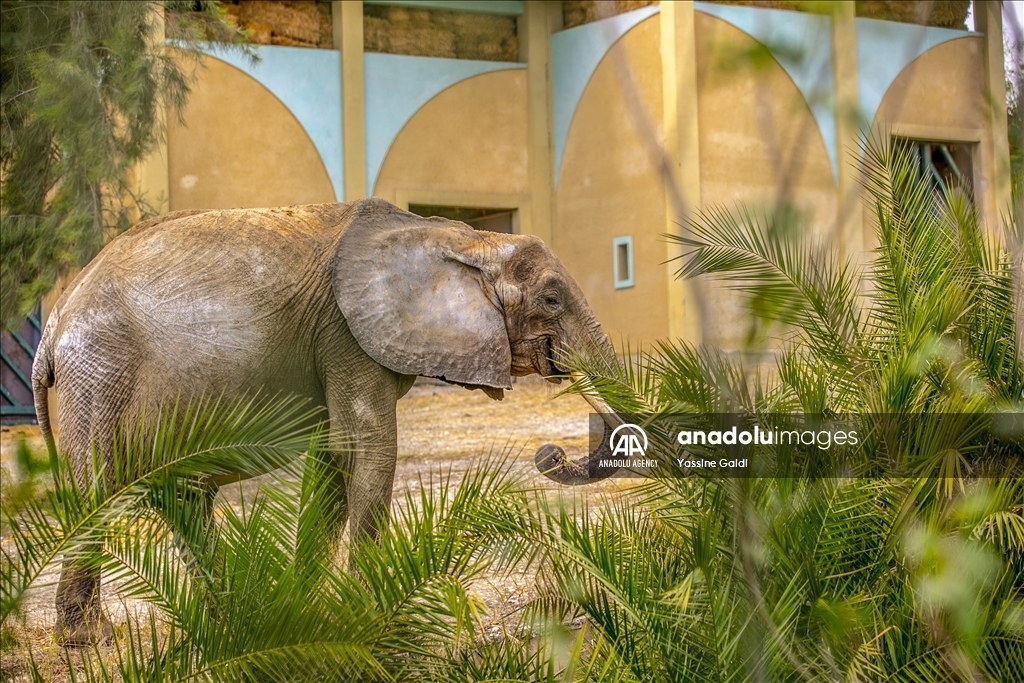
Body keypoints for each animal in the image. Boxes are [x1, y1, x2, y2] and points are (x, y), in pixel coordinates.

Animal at [31, 196, 622, 645]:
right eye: (552, 297)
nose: (551, 453)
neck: (463, 238)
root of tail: (53, 324)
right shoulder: (346, 334)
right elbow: (367, 452)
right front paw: (365, 616)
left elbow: (331, 463)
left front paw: (306, 613)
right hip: (100, 371)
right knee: (99, 492)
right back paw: (89, 640)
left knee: (179, 496)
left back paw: (230, 623)